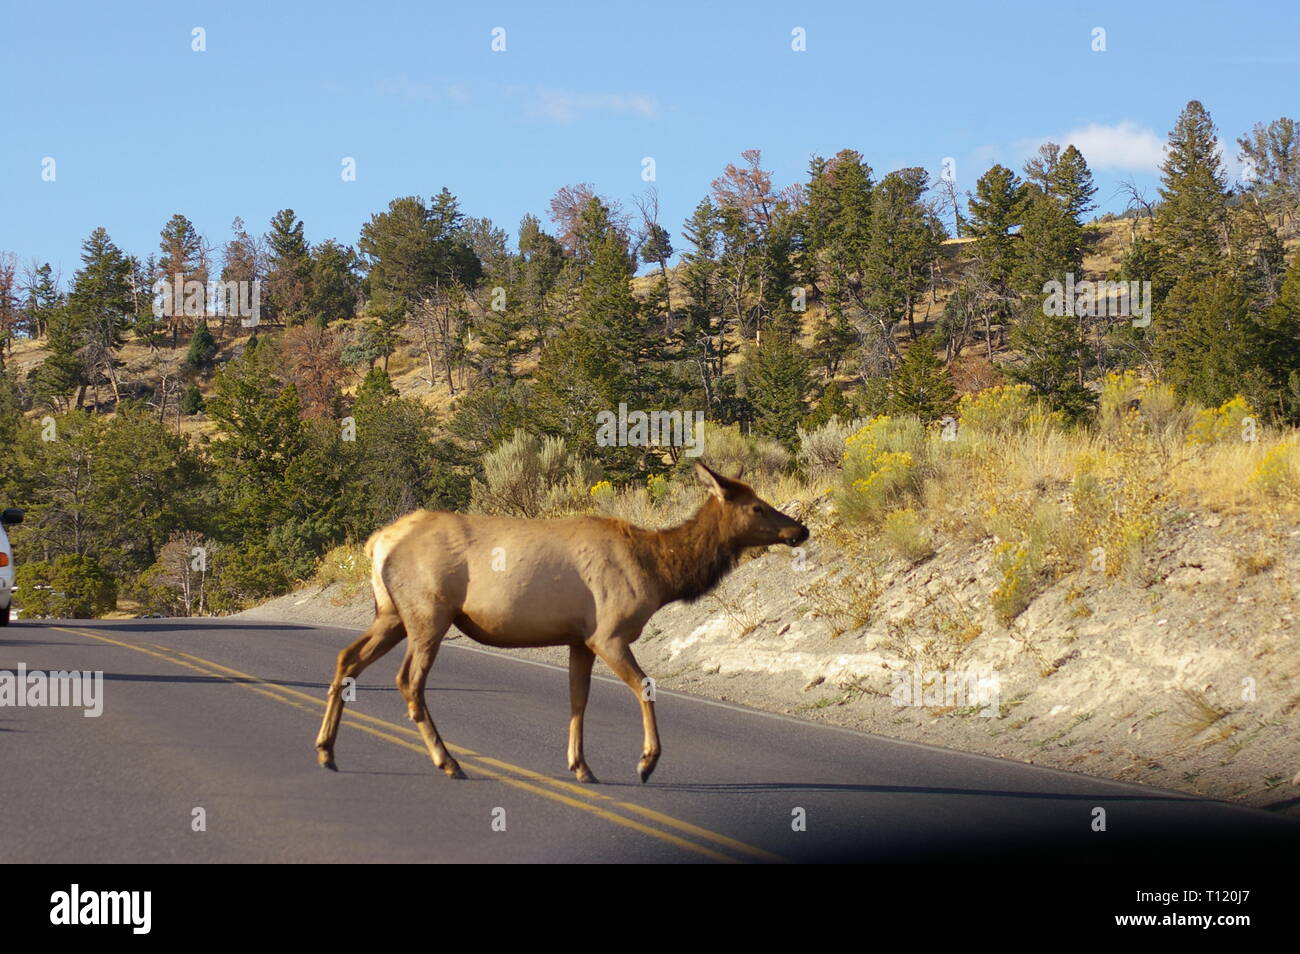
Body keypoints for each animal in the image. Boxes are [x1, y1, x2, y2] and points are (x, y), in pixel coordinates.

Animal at [313, 461, 809, 783]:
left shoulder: (579, 639)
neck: (660, 571)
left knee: (346, 659)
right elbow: (645, 687)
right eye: (757, 507)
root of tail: (377, 543)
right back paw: (448, 762)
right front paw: (646, 762)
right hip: (428, 613)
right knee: (408, 680)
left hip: (391, 614)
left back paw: (327, 751)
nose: (800, 529)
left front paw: (581, 765)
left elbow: (578, 699)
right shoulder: (609, 633)